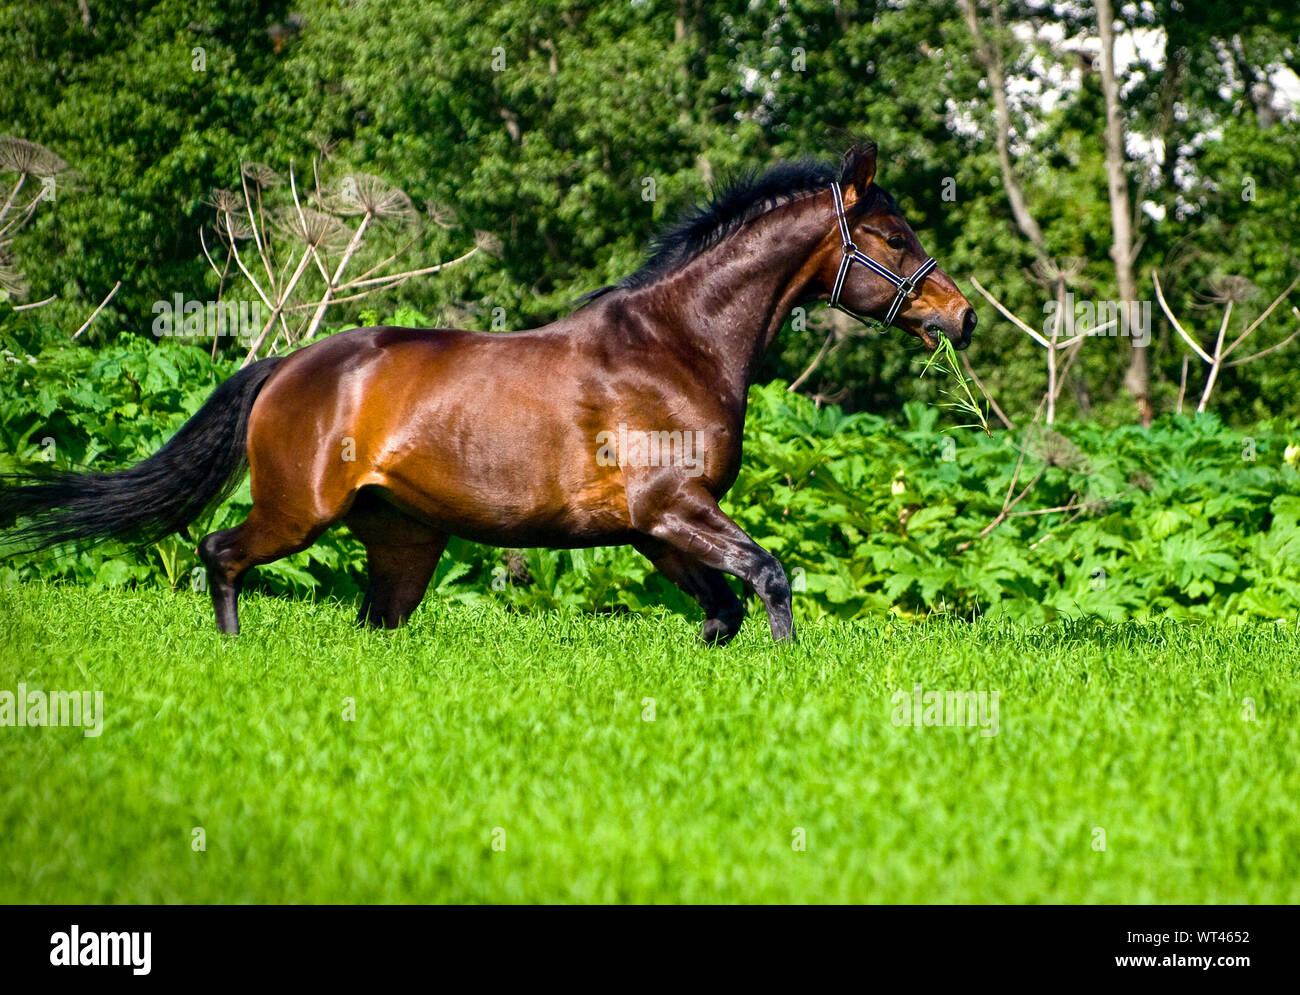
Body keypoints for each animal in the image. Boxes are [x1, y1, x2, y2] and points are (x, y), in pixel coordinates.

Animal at [0, 143, 975, 644]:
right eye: (891, 236)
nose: (961, 316)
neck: (677, 345)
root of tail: (288, 365)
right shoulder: (673, 507)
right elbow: (767, 576)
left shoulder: (654, 528)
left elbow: (722, 609)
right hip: (297, 511)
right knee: (219, 551)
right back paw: (234, 650)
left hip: (404, 540)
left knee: (374, 619)